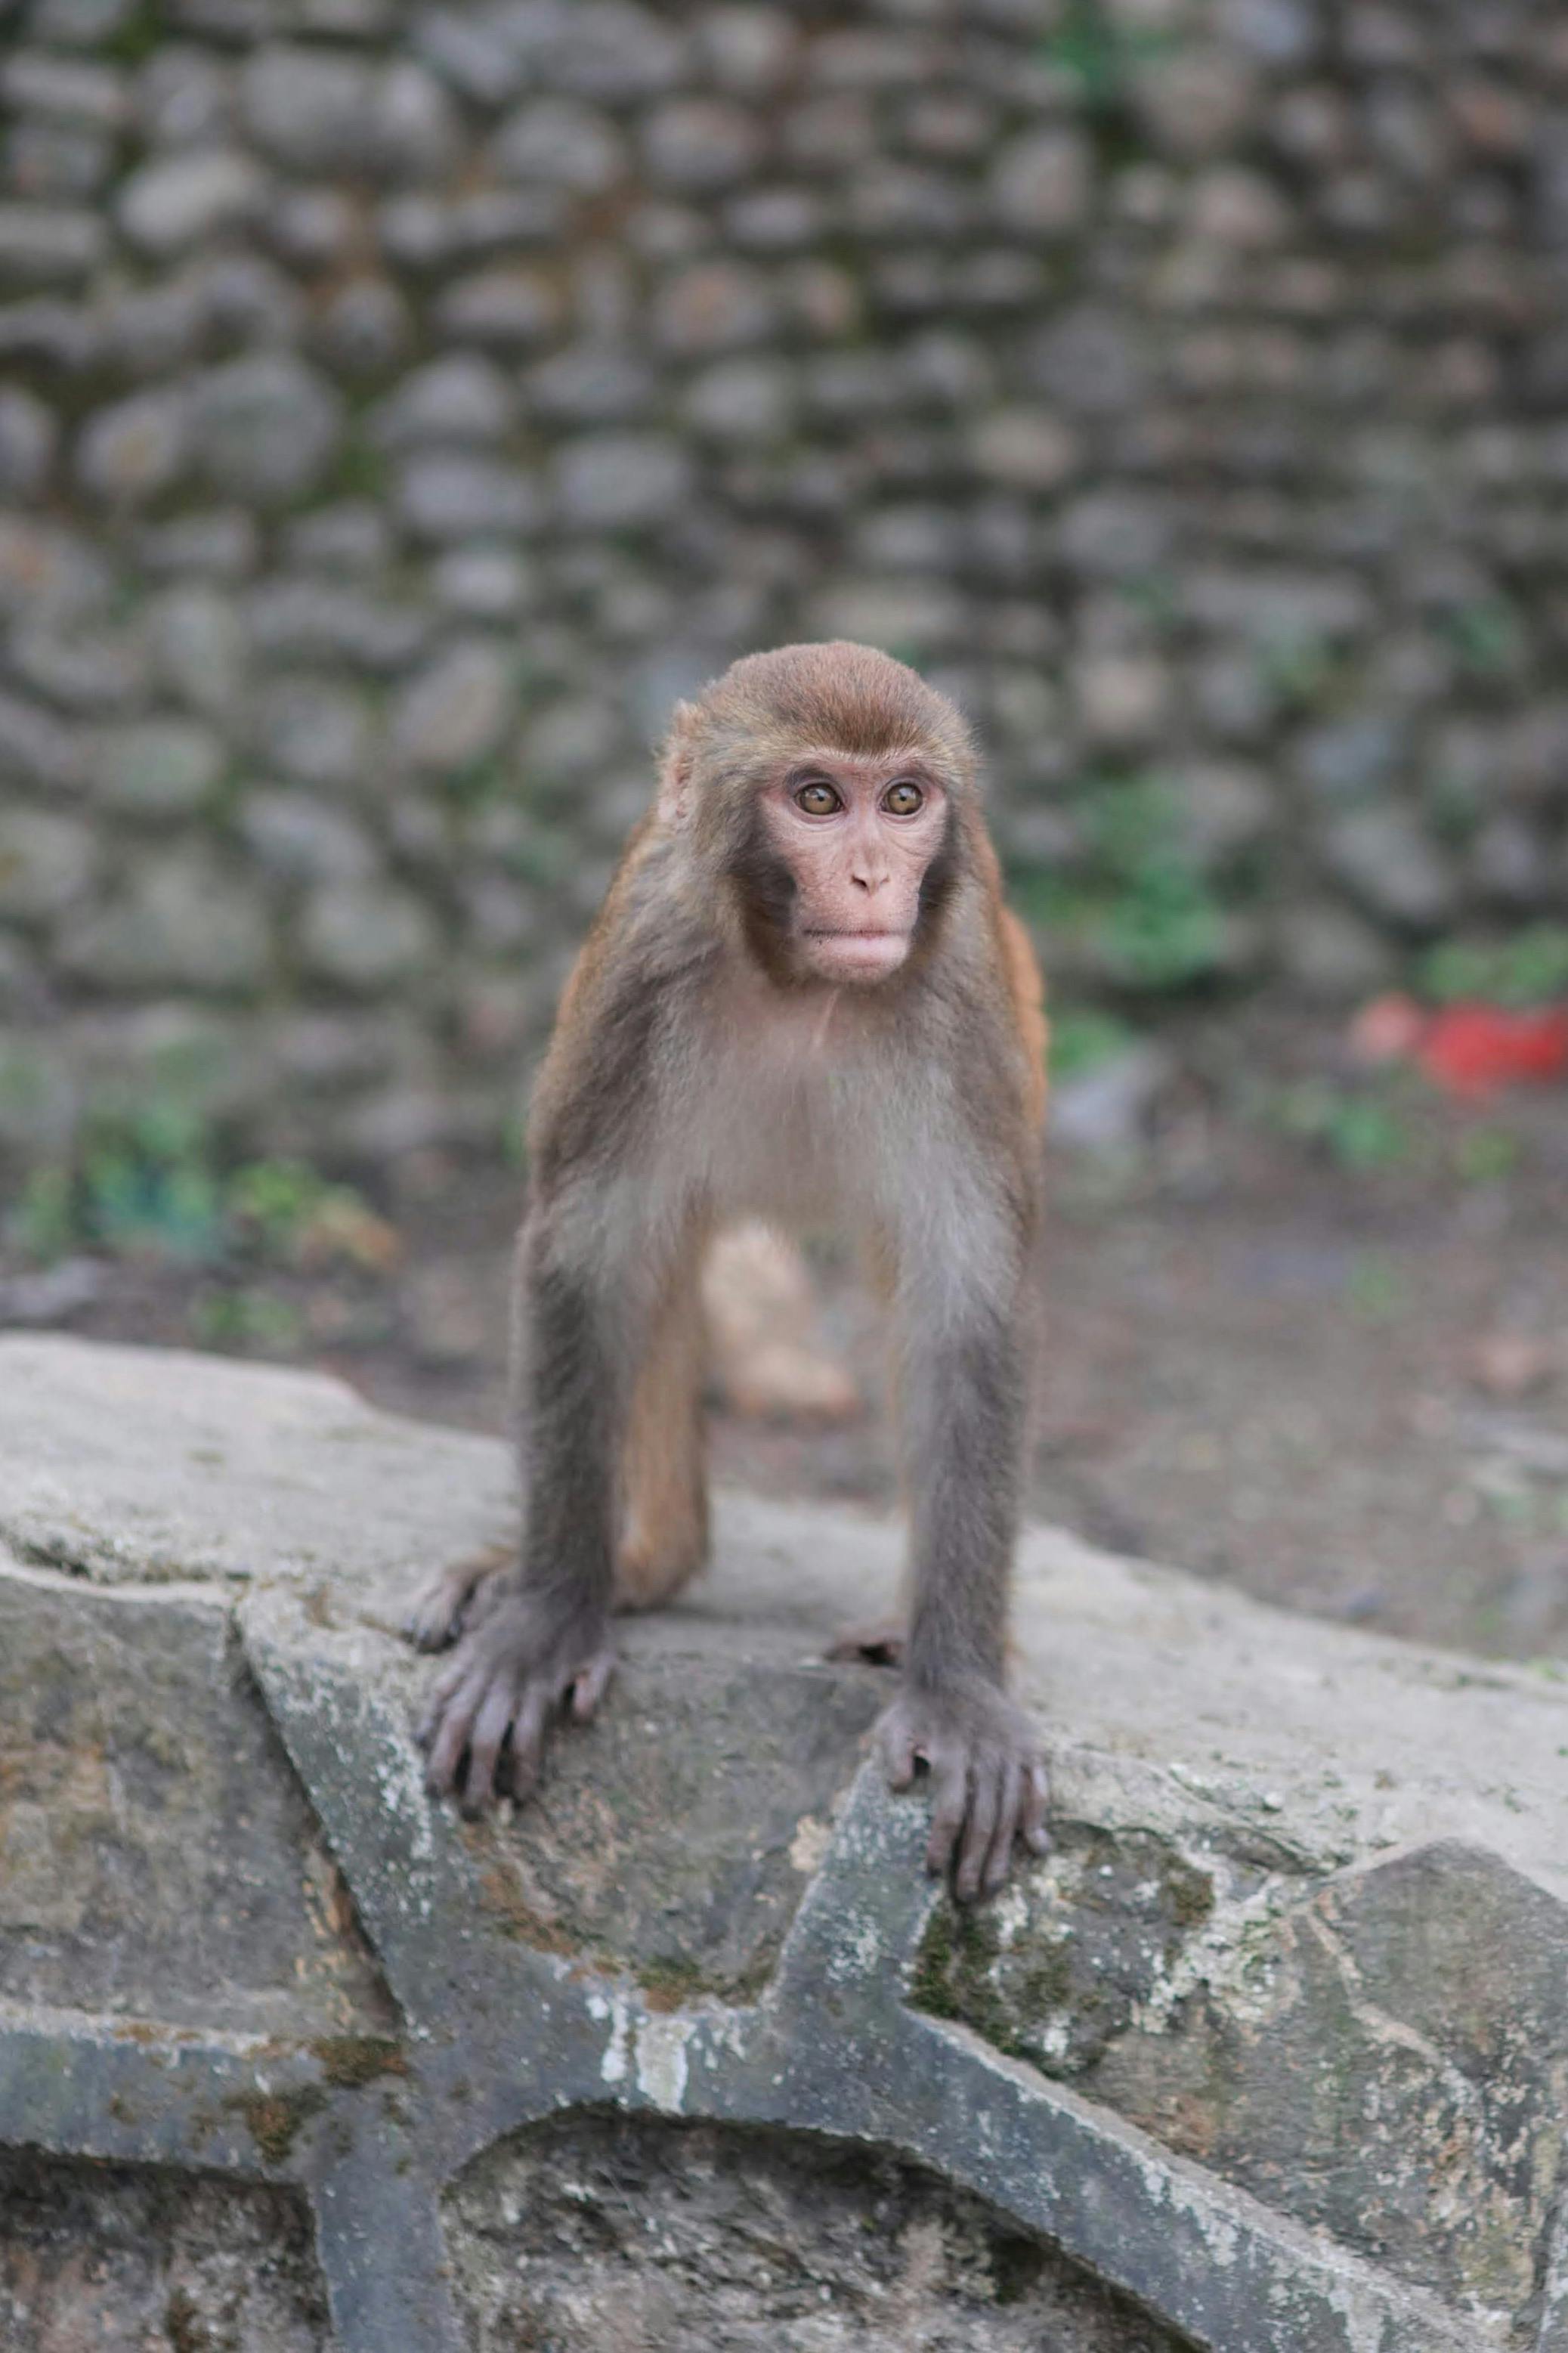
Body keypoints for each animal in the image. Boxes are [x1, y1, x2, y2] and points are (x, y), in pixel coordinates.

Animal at [411, 641, 1051, 1901]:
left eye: (904, 800)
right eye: (816, 800)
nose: (868, 876)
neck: (802, 987)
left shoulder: (961, 999)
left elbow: (962, 1307)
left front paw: (958, 1690)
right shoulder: (639, 973)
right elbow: (592, 1259)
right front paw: (547, 1618)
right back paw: (639, 1566)